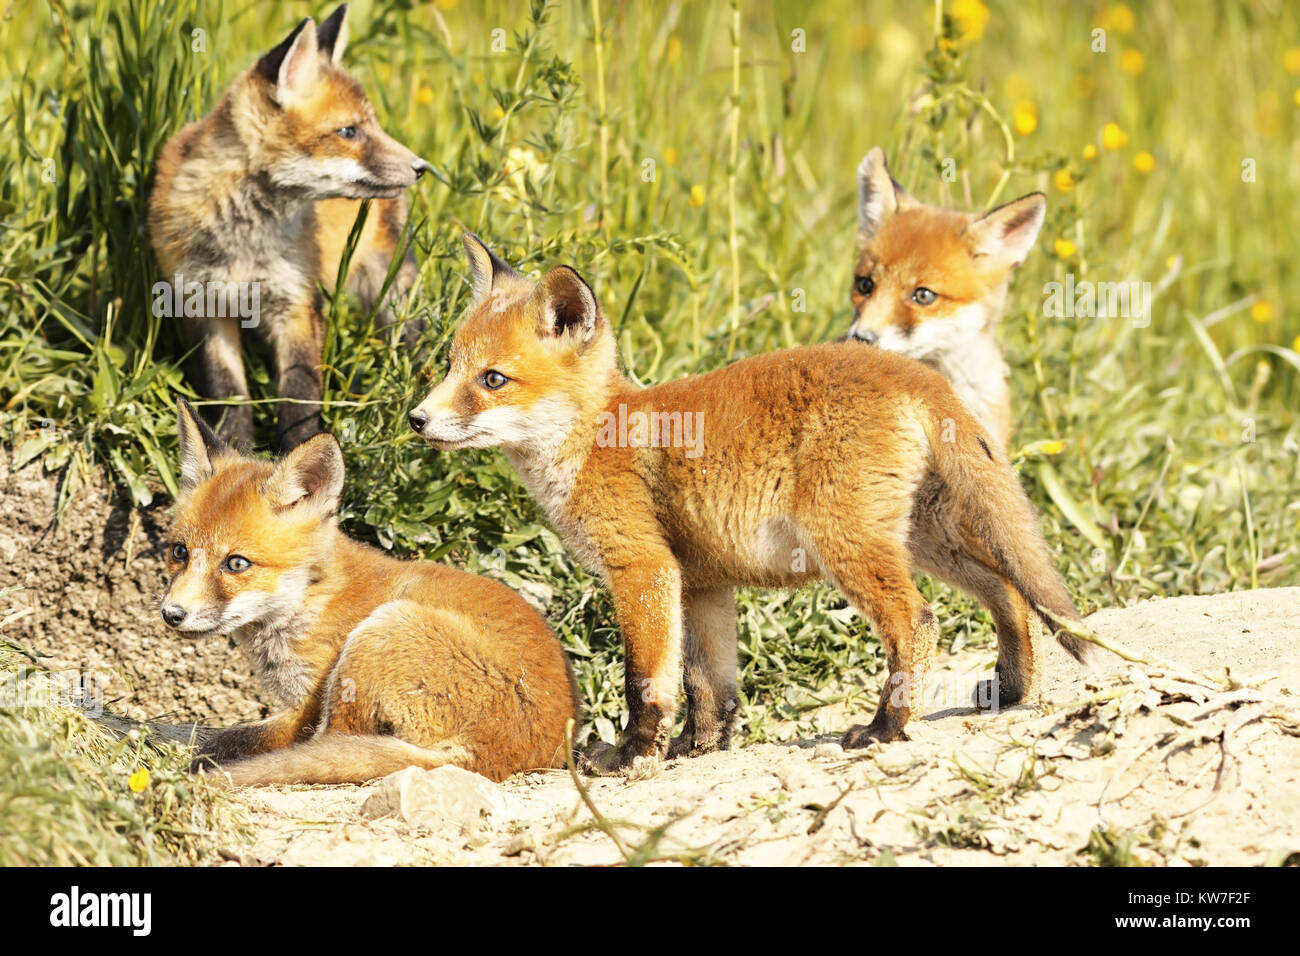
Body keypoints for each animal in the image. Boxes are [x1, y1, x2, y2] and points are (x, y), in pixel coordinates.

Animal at [148, 4, 428, 454]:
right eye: (348, 131)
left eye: (371, 126)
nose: (422, 167)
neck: (246, 240)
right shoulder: (205, 304)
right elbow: (229, 392)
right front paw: (235, 450)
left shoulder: (296, 304)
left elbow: (299, 396)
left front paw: (300, 456)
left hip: (390, 288)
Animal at [160, 398, 579, 787]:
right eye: (179, 552)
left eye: (235, 563)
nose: (171, 614)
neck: (311, 599)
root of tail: (495, 759)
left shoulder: (307, 706)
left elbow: (237, 739)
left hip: (379, 635)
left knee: (332, 742)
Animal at [407, 235, 1091, 771]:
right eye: (449, 366)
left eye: (492, 380)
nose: (416, 419)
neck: (596, 436)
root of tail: (914, 373)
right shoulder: (701, 583)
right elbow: (709, 685)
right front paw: (698, 747)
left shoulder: (643, 568)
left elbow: (645, 682)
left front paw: (632, 755)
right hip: (924, 540)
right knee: (1009, 591)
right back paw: (1012, 689)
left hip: (850, 545)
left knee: (918, 622)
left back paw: (885, 728)